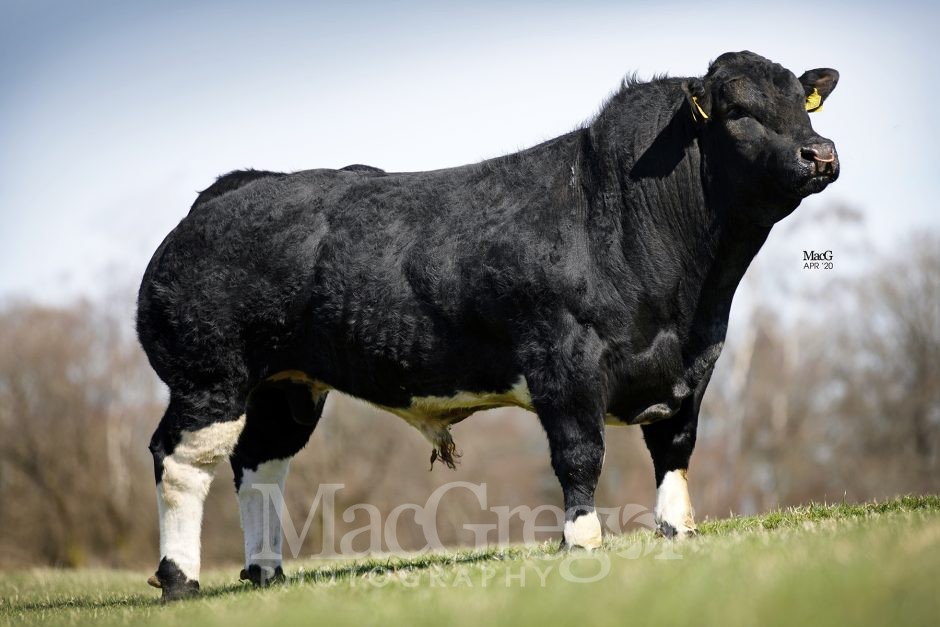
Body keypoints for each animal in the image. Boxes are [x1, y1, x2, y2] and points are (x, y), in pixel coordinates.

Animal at [137, 51, 839, 600]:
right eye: (738, 111)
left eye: (805, 107)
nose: (821, 151)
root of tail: (230, 190)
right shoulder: (565, 364)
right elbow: (580, 455)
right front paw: (583, 543)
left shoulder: (692, 368)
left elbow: (675, 450)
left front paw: (676, 533)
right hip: (209, 377)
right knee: (182, 461)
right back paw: (180, 580)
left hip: (287, 385)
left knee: (260, 464)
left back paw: (266, 572)